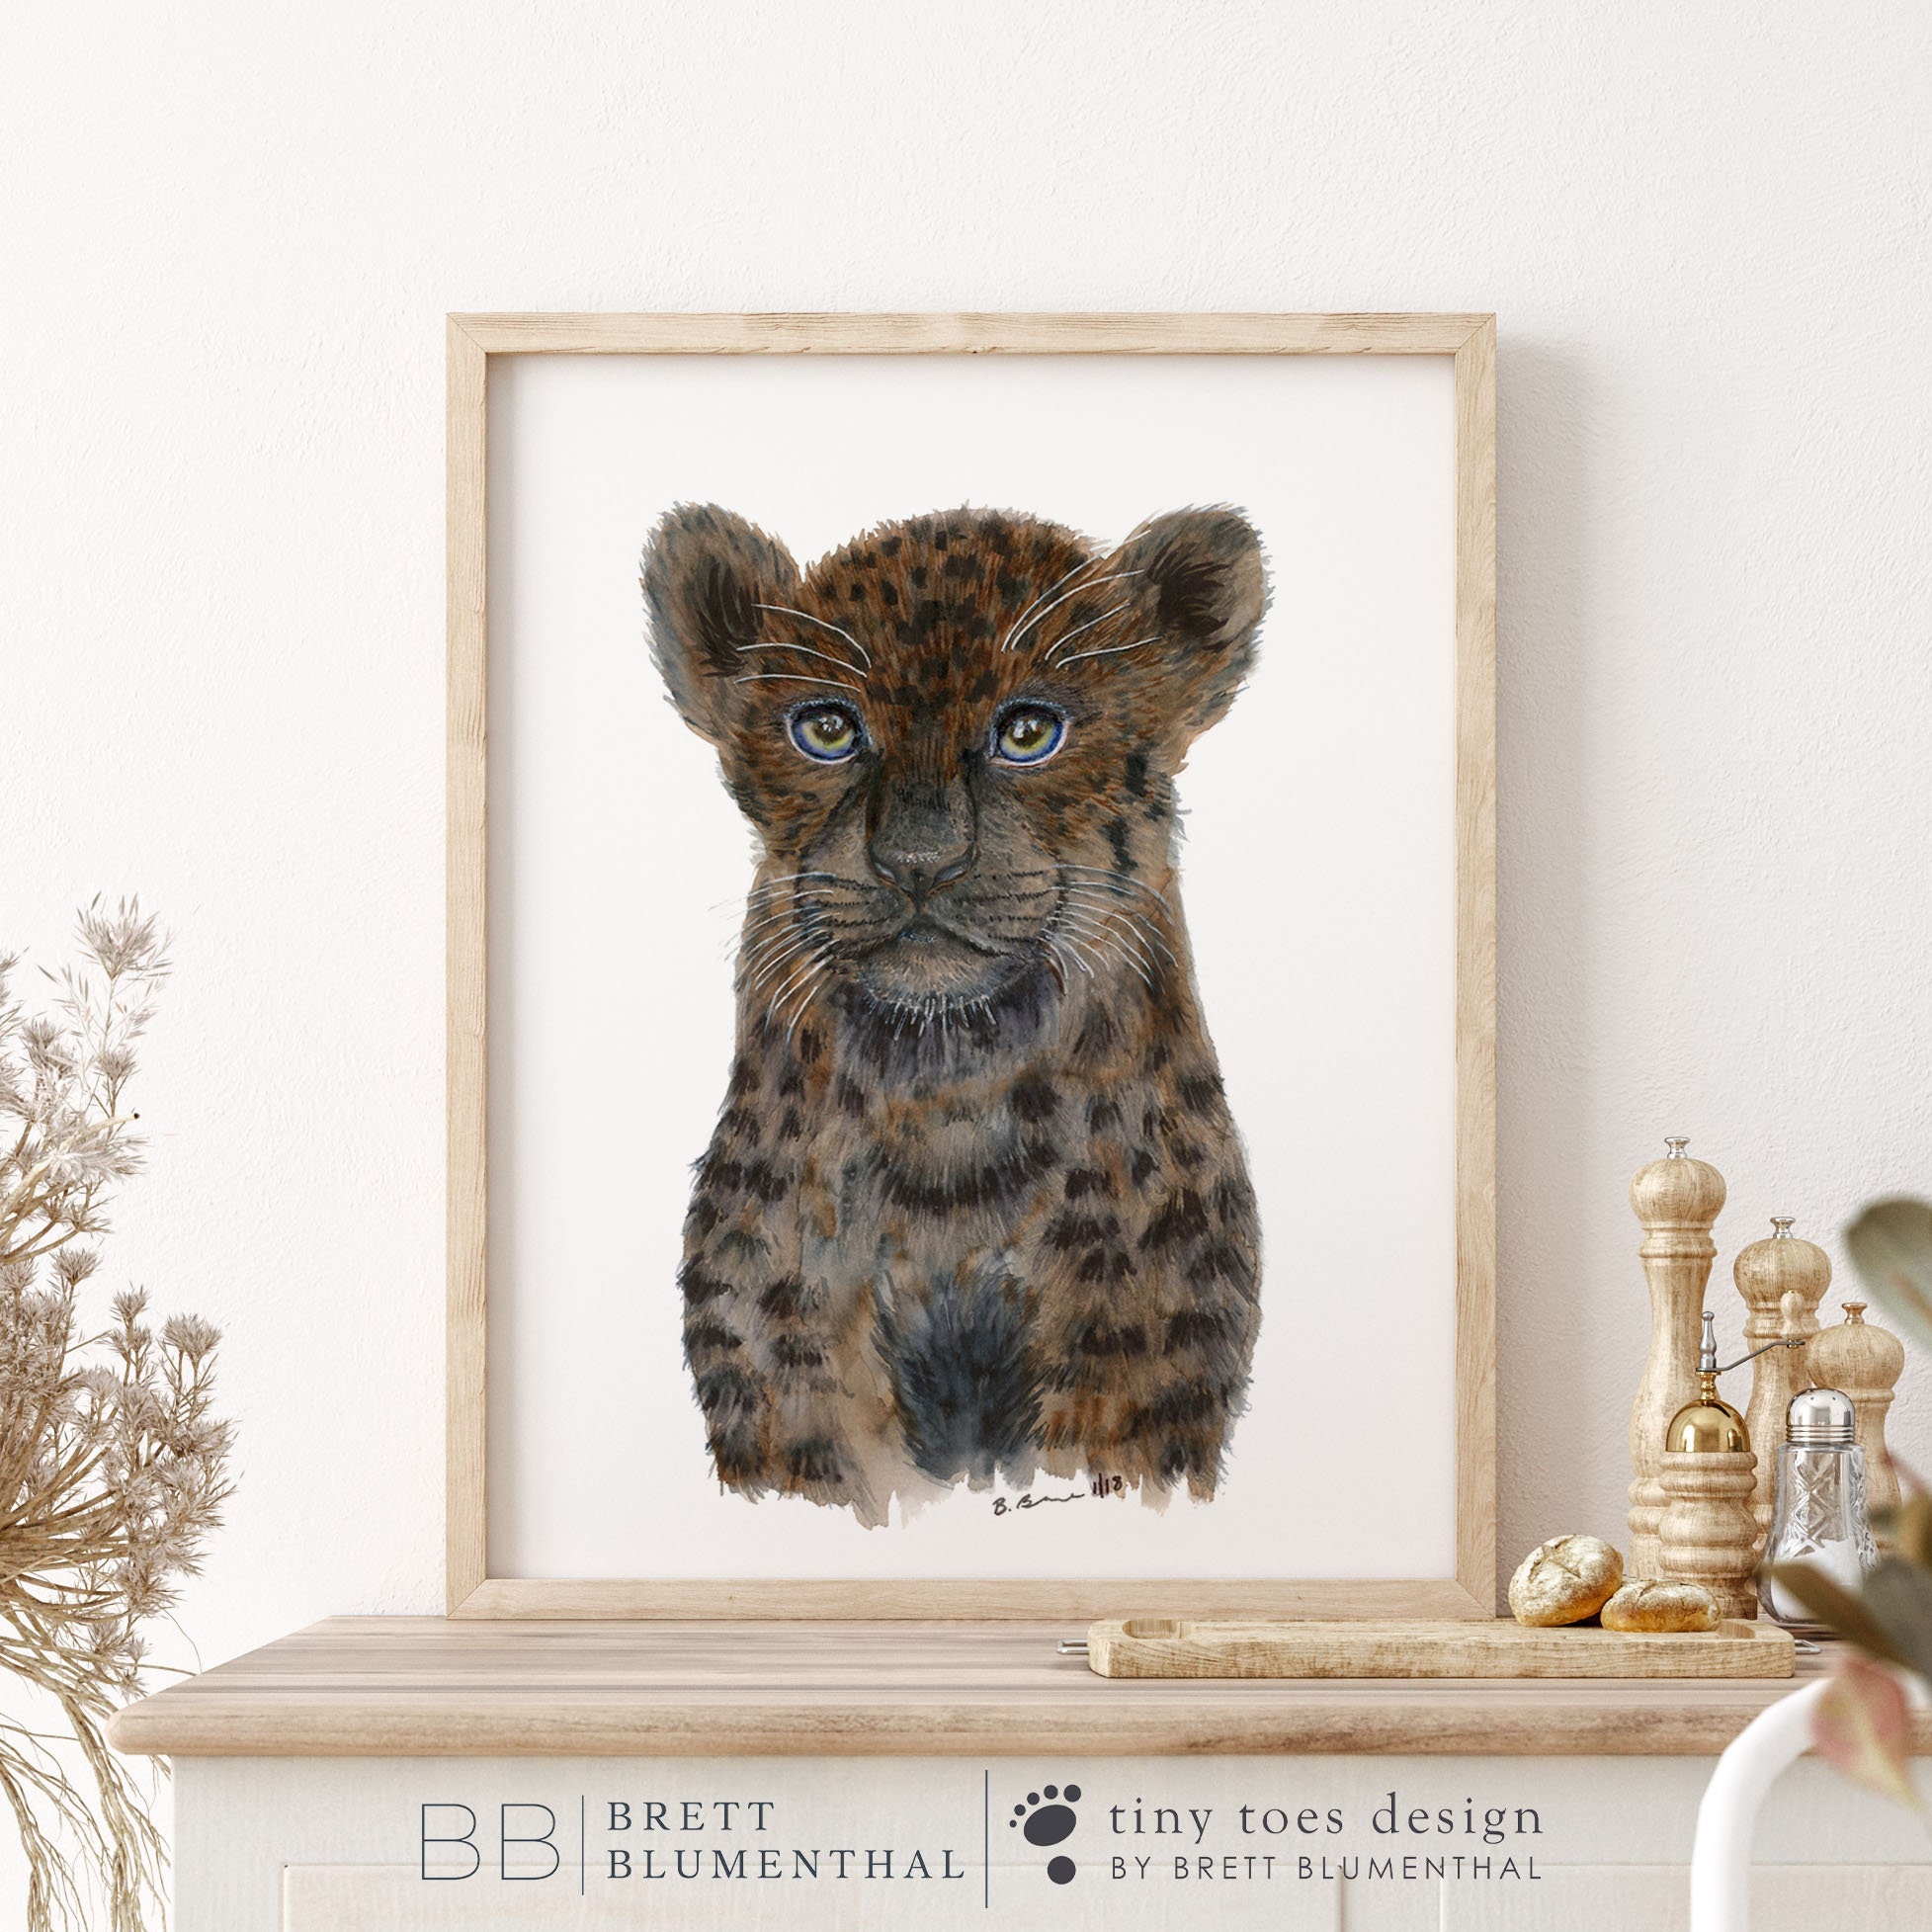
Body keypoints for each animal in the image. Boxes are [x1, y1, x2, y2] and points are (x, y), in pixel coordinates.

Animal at [643, 500, 1266, 1526]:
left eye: (1027, 732)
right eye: (826, 728)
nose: (919, 861)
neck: (946, 1110)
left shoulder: (1128, 1379)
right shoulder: (791, 1388)